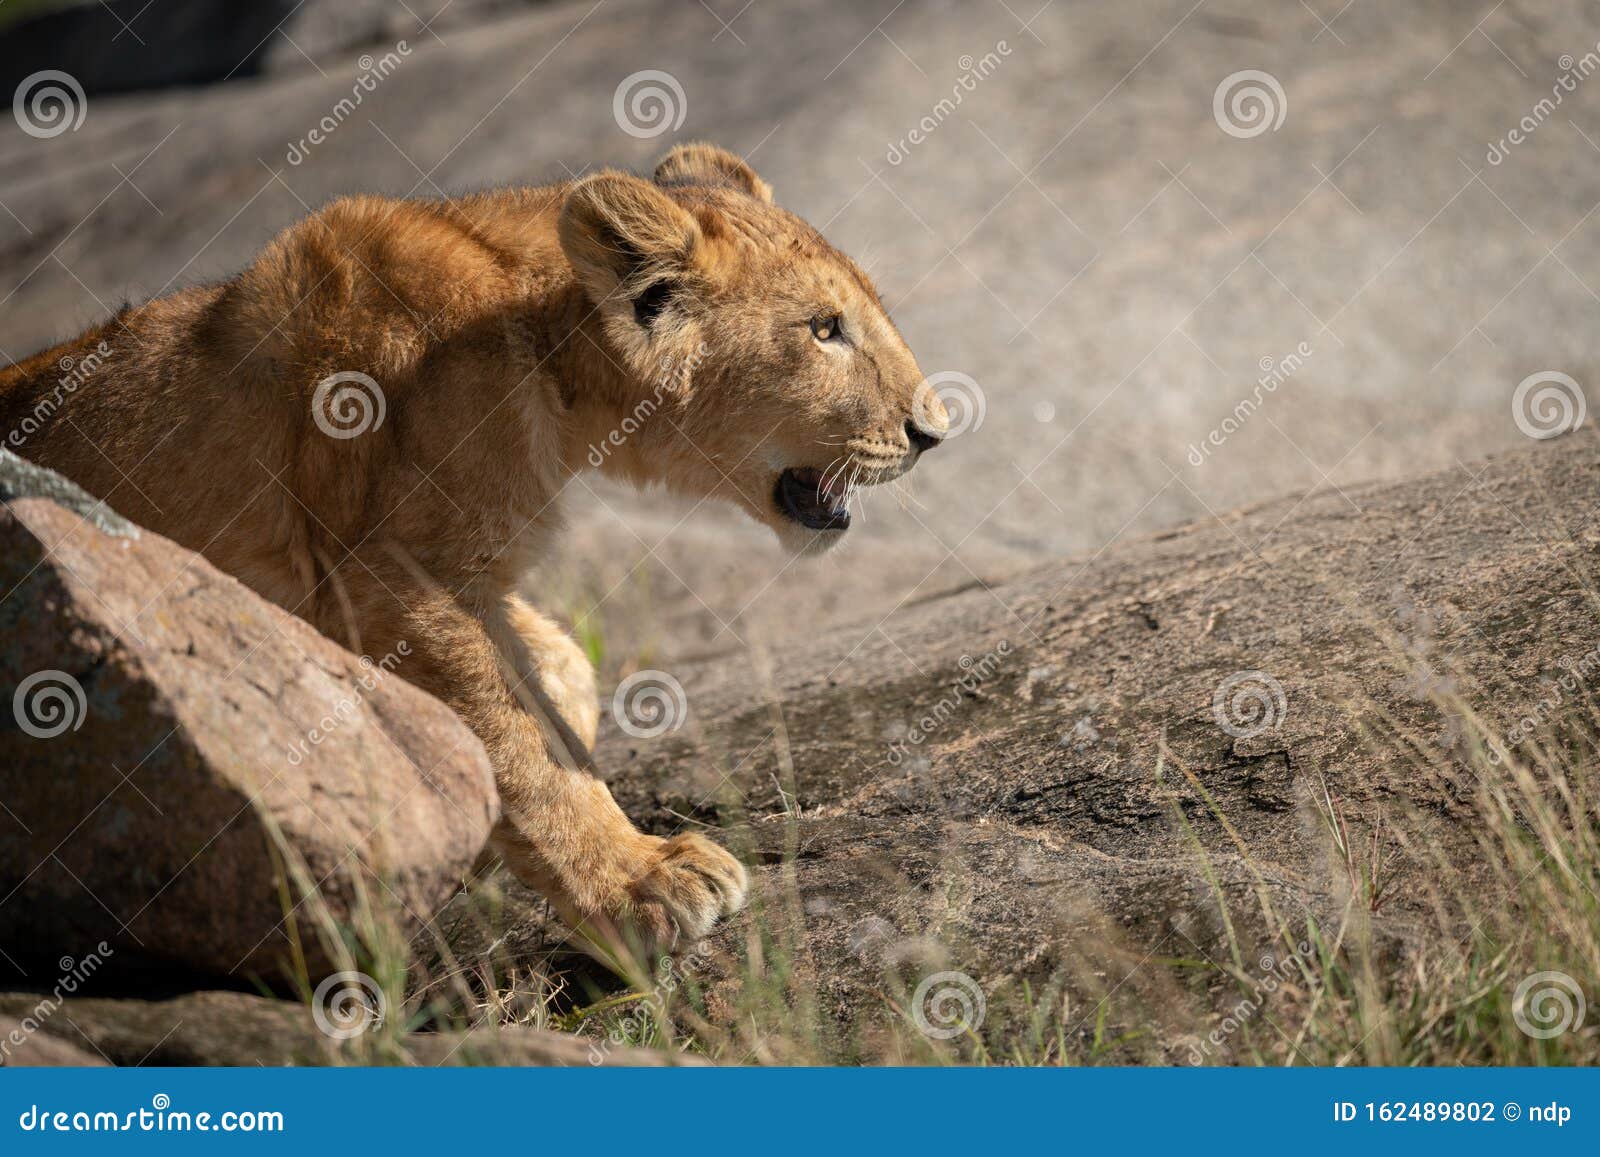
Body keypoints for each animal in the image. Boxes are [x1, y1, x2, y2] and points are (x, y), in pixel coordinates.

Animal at [0, 143, 947, 959]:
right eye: (823, 328)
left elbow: (562, 676)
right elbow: (521, 741)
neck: (552, 366)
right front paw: (638, 881)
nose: (935, 430)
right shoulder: (384, 577)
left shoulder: (473, 582)